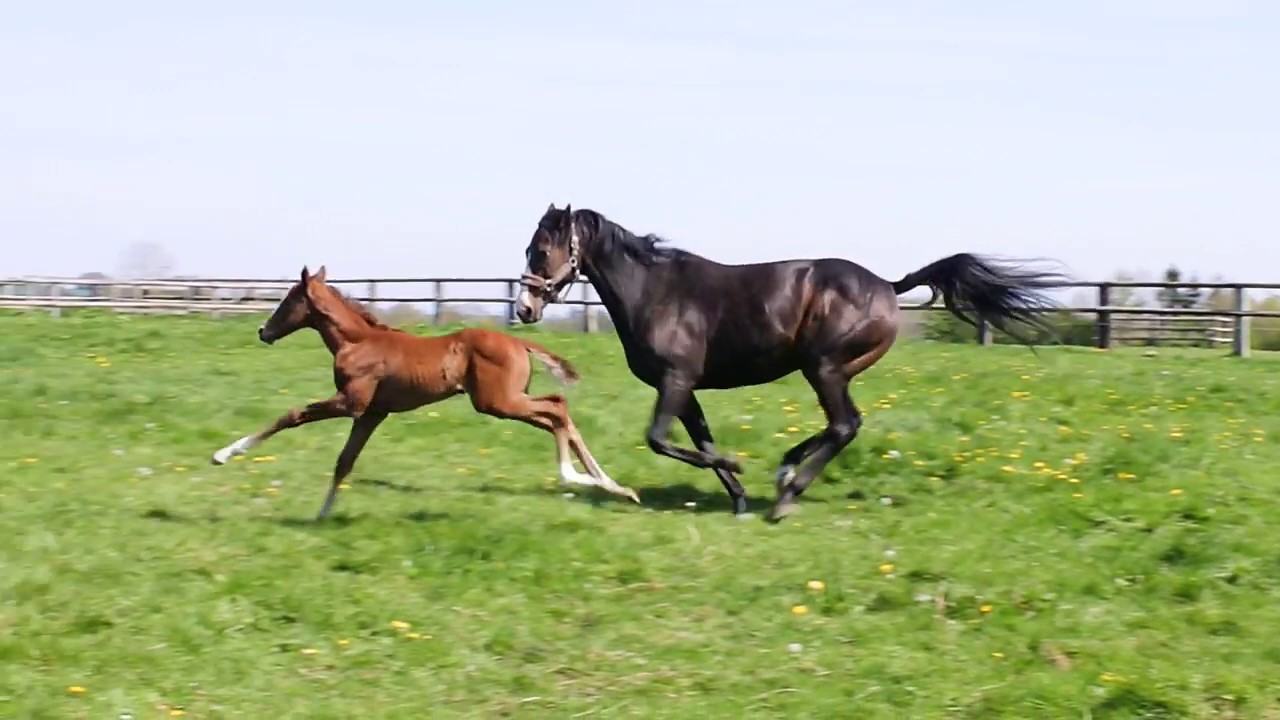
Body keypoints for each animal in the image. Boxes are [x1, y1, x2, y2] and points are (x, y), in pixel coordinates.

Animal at [209, 264, 639, 520]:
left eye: (289, 299)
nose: (263, 331)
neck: (357, 342)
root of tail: (519, 342)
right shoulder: (373, 413)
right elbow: (344, 462)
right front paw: (321, 516)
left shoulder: (352, 404)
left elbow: (292, 415)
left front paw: (224, 454)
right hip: (504, 402)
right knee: (558, 415)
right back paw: (615, 487)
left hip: (497, 402)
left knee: (557, 409)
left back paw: (576, 477)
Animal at [514, 204, 1067, 522]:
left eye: (541, 249)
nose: (525, 309)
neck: (656, 292)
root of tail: (889, 287)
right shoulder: (686, 389)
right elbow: (700, 442)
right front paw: (738, 497)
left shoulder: (675, 380)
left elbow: (659, 439)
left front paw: (740, 470)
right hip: (830, 370)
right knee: (842, 425)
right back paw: (784, 473)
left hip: (824, 367)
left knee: (845, 424)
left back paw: (787, 494)